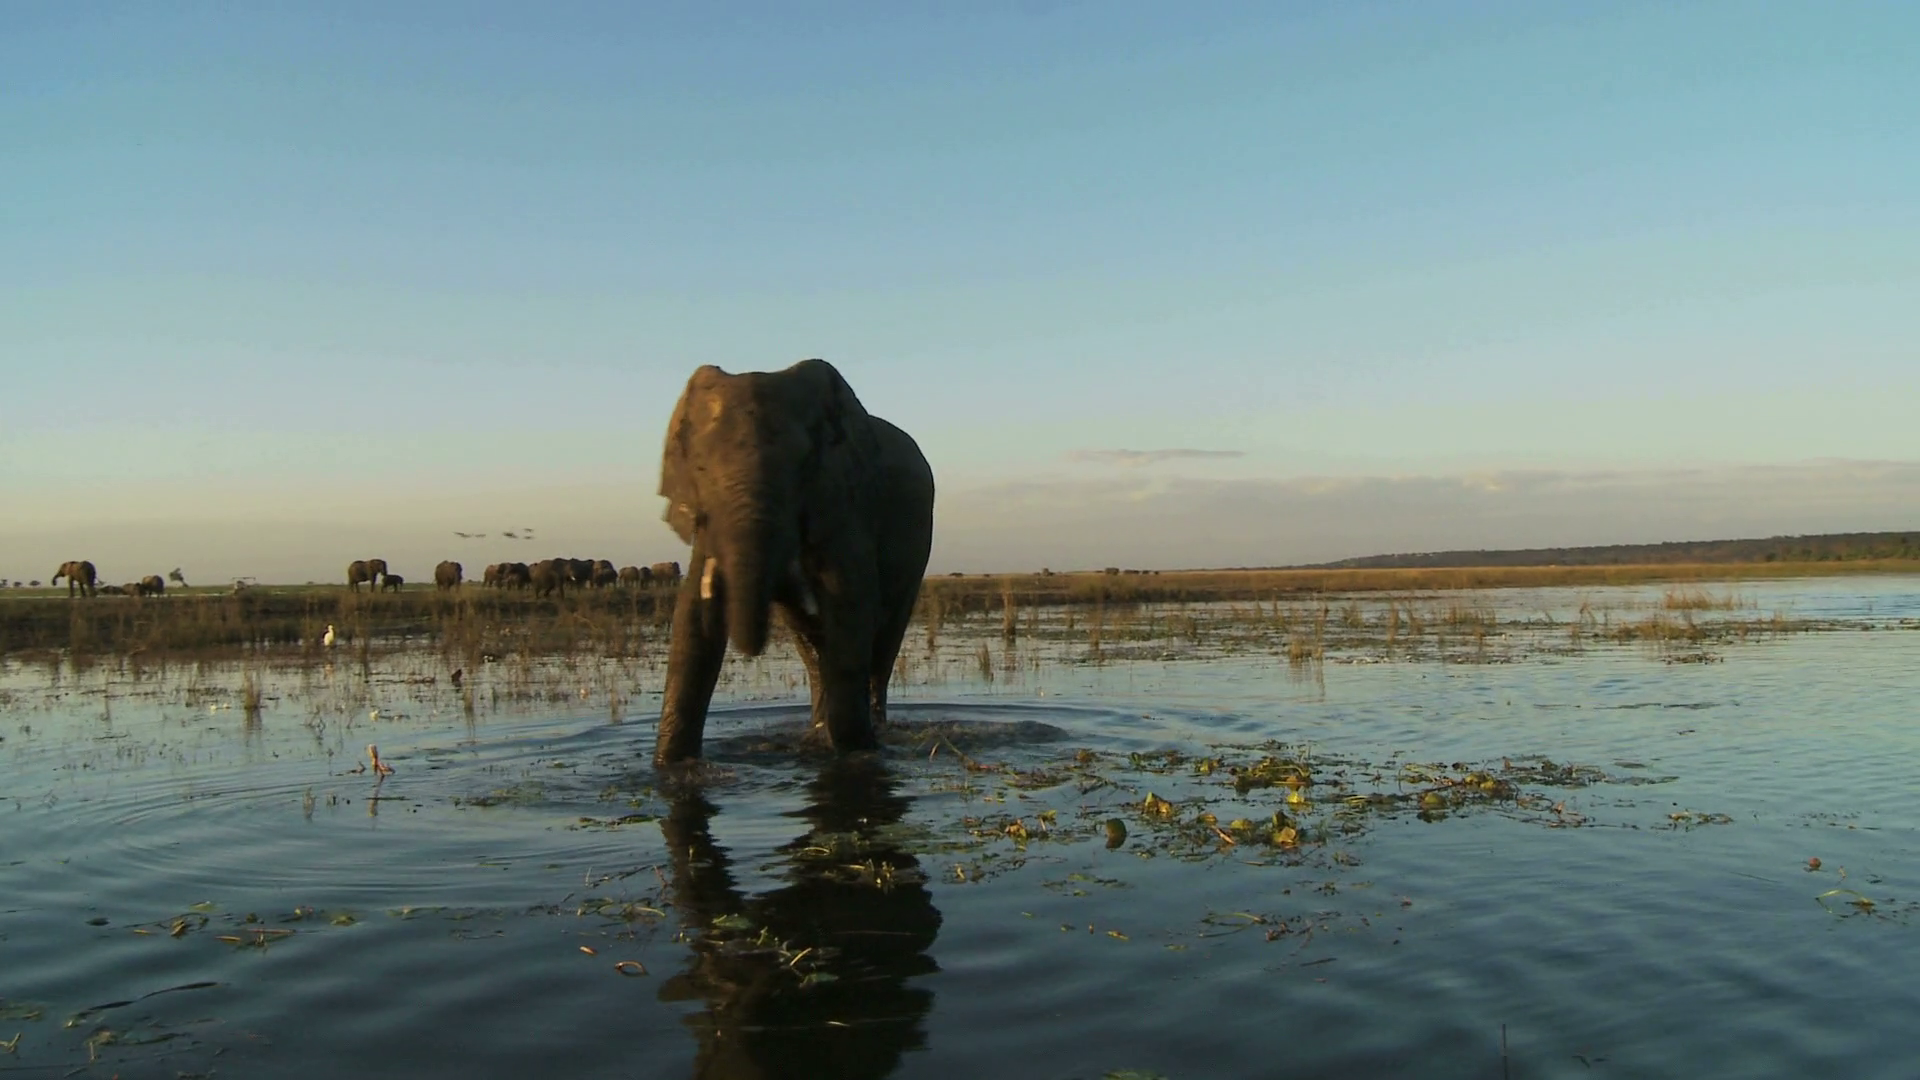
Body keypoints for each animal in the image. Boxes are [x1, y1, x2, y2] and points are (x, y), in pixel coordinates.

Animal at [654, 358, 935, 765]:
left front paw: (855, 753)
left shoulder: (845, 500)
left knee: (880, 648)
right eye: (700, 468)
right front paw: (671, 764)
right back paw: (817, 728)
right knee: (813, 651)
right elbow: (689, 619)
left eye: (803, 464)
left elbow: (850, 606)